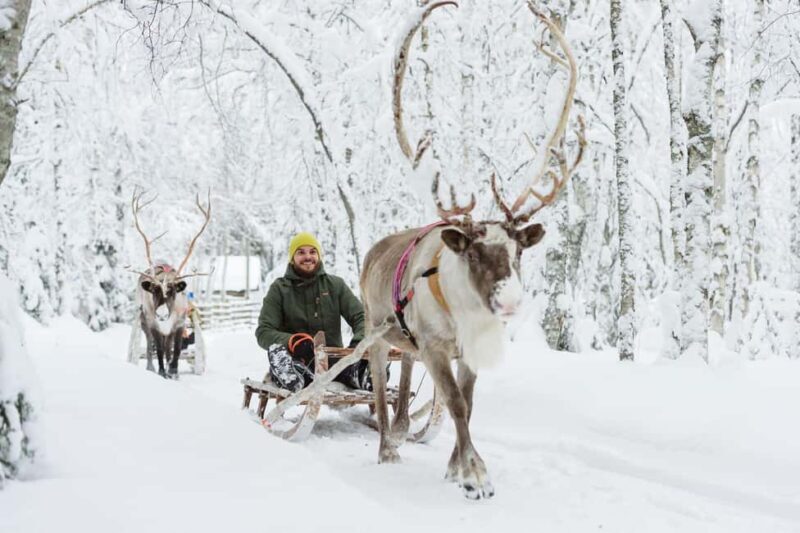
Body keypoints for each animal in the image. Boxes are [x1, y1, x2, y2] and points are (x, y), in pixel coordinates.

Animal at [131, 189, 211, 379]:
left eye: (173, 290)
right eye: (154, 290)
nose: (161, 314)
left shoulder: (179, 324)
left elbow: (175, 350)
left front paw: (173, 372)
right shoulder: (154, 324)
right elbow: (158, 349)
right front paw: (161, 371)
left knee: (169, 348)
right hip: (144, 321)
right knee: (150, 346)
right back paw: (151, 367)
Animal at [358, 1, 585, 499]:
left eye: (519, 252)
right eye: (475, 254)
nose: (511, 302)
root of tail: (374, 251)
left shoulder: (467, 349)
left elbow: (467, 402)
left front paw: (455, 466)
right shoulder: (436, 347)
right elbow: (456, 405)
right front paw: (475, 475)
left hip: (406, 341)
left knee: (405, 374)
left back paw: (402, 428)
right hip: (374, 330)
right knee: (382, 390)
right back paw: (387, 447)